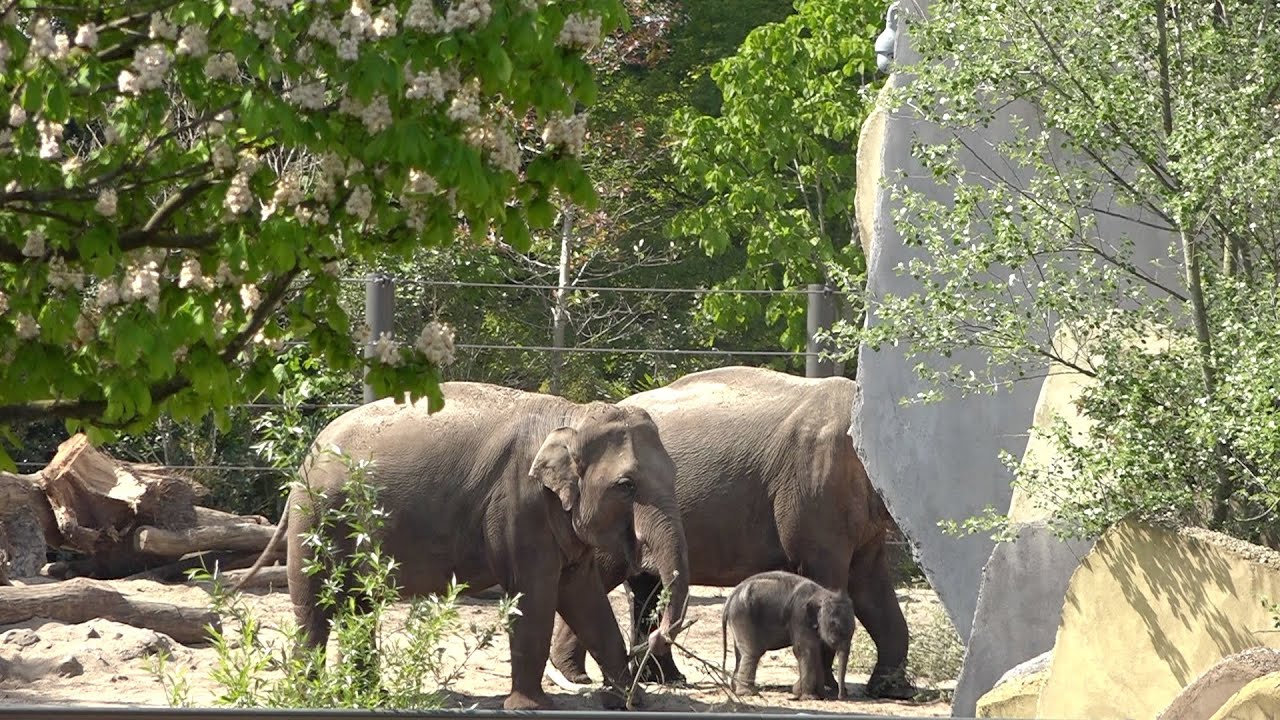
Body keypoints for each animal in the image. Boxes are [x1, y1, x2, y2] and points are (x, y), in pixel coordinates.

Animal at [240, 382, 690, 711]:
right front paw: (530, 707)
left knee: (360, 605)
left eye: (674, 473)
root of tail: (307, 456)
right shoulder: (520, 506)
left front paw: (630, 700)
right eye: (626, 485)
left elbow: (585, 597)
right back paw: (308, 694)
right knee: (313, 606)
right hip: (316, 520)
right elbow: (534, 597)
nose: (652, 638)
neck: (572, 416)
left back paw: (371, 696)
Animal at [722, 570, 856, 700]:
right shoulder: (799, 616)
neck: (822, 593)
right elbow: (806, 650)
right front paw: (809, 697)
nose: (842, 696)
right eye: (835, 628)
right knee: (752, 652)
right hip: (742, 615)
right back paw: (748, 693)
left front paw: (815, 694)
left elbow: (815, 650)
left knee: (740, 653)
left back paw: (736, 688)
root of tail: (730, 597)